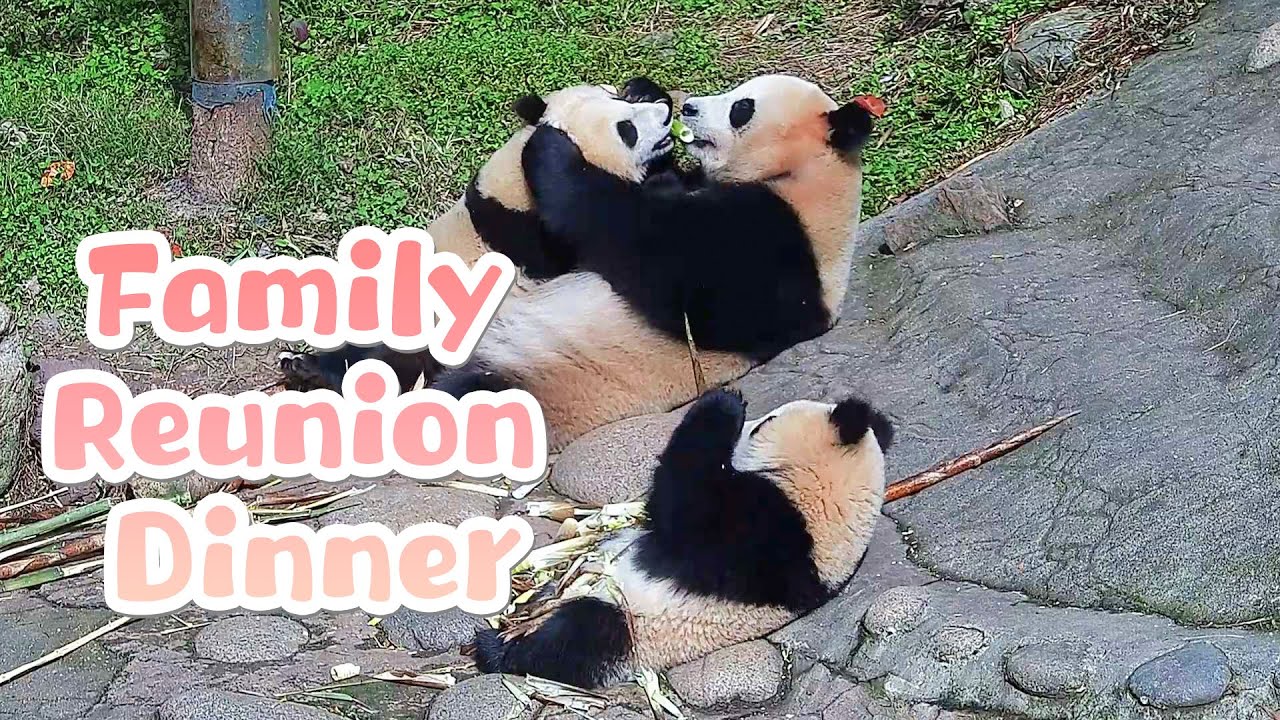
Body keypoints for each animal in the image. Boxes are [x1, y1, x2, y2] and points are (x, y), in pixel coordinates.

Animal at [277, 78, 678, 392]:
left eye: (617, 96)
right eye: (627, 130)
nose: (665, 115)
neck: (517, 191)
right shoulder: (541, 237)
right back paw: (310, 368)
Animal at [433, 74, 879, 450]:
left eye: (742, 108)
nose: (685, 108)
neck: (807, 179)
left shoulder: (770, 246)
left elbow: (635, 236)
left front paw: (549, 149)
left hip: (540, 378)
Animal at [474, 387, 894, 688]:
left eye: (766, 424)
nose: (753, 421)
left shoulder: (766, 539)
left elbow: (681, 503)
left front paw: (724, 404)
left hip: (633, 626)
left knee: (575, 639)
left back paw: (496, 648)